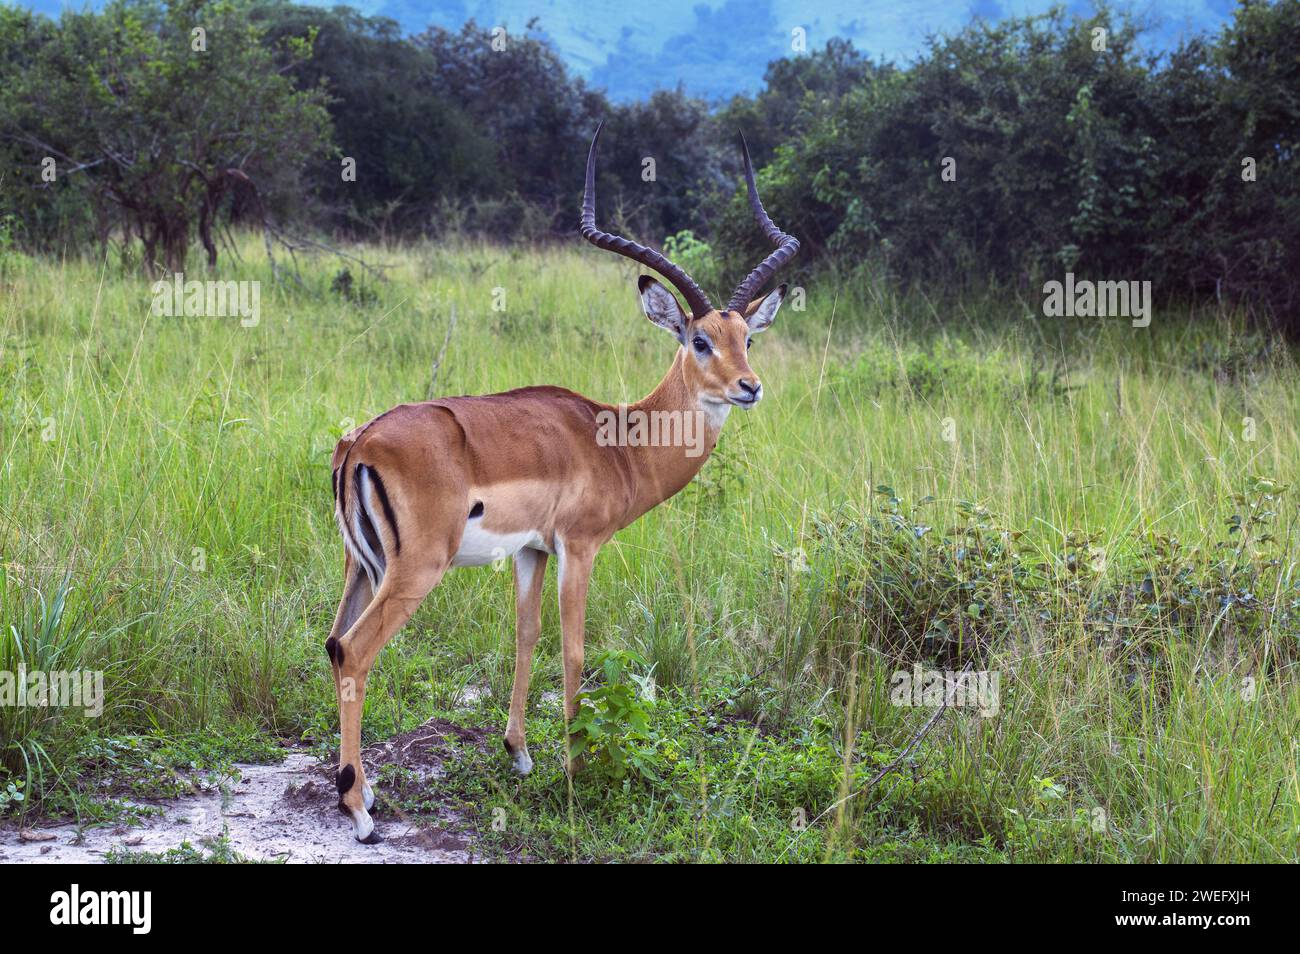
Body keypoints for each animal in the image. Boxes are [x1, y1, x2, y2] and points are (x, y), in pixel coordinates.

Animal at [325, 123, 799, 843]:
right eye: (698, 340)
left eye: (748, 336)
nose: (750, 387)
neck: (618, 440)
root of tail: (360, 443)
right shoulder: (581, 546)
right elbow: (575, 651)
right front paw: (576, 768)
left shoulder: (530, 551)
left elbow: (526, 636)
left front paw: (519, 753)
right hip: (414, 570)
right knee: (354, 652)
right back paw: (358, 809)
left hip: (362, 566)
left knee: (332, 645)